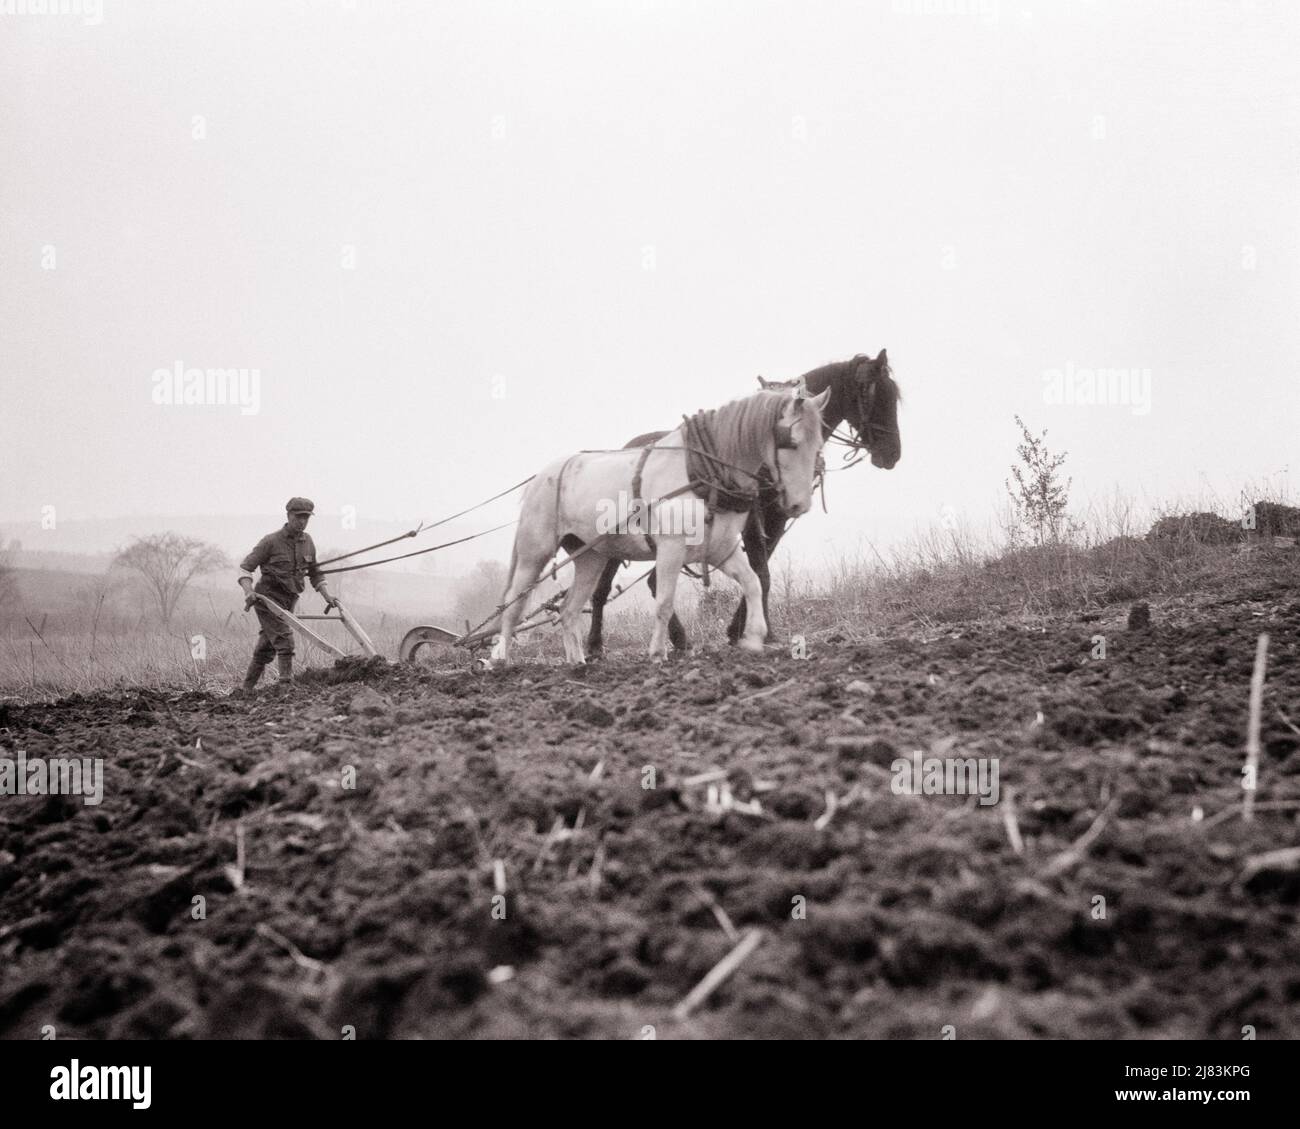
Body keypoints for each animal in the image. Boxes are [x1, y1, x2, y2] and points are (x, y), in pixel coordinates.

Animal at [490, 386, 831, 664]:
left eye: (818, 444)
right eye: (792, 443)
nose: (800, 505)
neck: (700, 475)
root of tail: (540, 477)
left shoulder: (719, 548)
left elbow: (752, 582)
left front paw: (754, 638)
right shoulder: (671, 547)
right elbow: (665, 601)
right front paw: (658, 653)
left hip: (590, 556)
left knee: (569, 608)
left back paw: (578, 662)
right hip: (535, 552)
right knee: (512, 604)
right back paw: (501, 660)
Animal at [585, 350, 901, 656]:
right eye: (875, 394)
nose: (892, 454)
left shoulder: (775, 519)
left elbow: (761, 574)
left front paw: (740, 630)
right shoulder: (752, 519)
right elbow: (762, 572)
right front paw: (756, 632)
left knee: (649, 582)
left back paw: (678, 640)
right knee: (605, 587)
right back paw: (595, 643)